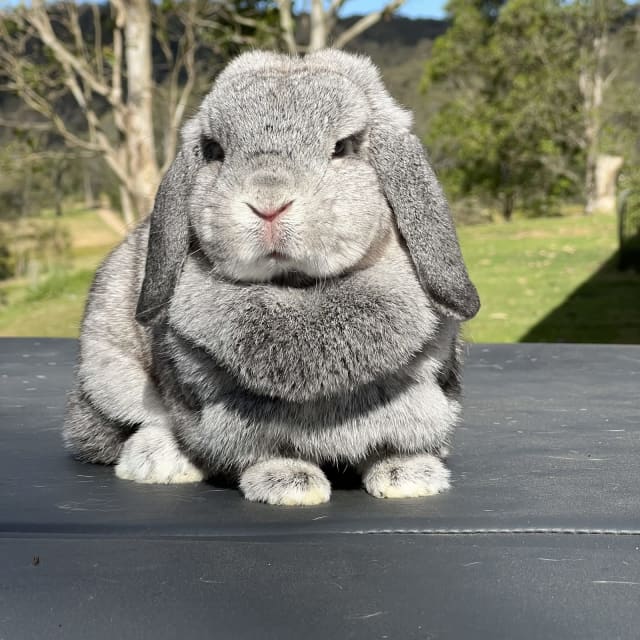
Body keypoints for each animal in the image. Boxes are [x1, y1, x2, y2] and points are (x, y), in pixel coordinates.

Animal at [63, 49, 480, 506]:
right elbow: (264, 451)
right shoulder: (224, 414)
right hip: (109, 367)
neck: (296, 287)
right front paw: (290, 484)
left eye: (344, 146)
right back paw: (160, 461)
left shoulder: (421, 395)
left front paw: (409, 476)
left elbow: (396, 444)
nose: (268, 203)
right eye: (214, 150)